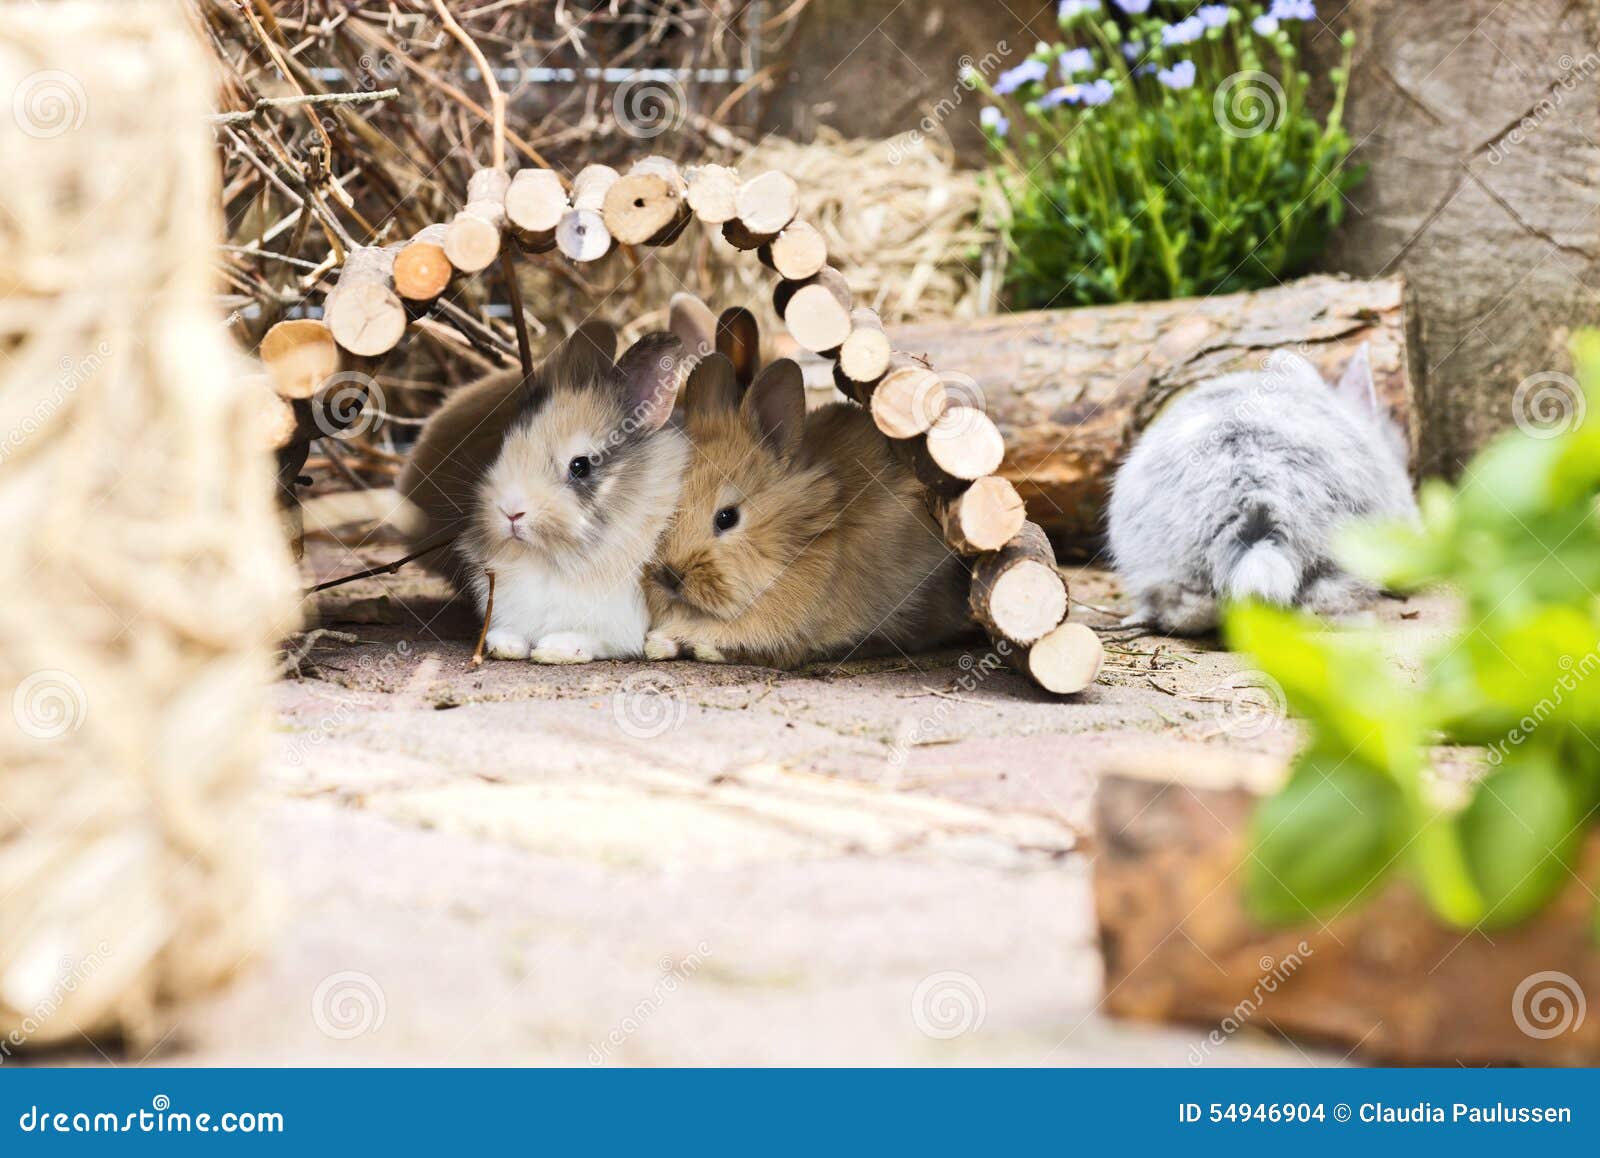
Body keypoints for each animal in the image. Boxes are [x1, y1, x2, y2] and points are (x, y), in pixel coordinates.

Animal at [397, 322, 688, 662]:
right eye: (503, 449)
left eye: (580, 466)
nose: (511, 511)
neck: (550, 560)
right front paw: (505, 644)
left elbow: (595, 639)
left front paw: (556, 649)